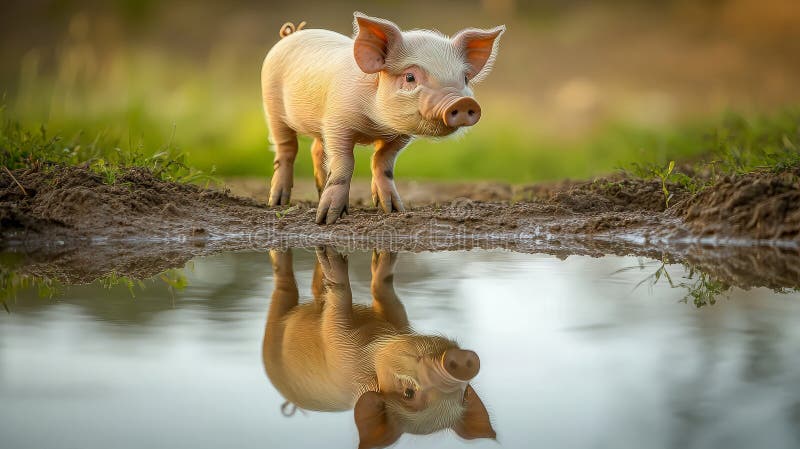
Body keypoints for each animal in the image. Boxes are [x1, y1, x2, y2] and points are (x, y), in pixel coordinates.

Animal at [261, 13, 505, 224]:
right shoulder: (337, 123)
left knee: (317, 150)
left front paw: (394, 210)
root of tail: (291, 34)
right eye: (410, 77)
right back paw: (277, 203)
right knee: (286, 149)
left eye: (464, 79)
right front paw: (326, 220)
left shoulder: (400, 135)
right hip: (272, 105)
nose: (462, 103)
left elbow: (383, 163)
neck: (375, 125)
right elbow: (344, 163)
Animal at [262, 247, 495, 449]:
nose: (465, 365)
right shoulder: (342, 347)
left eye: (463, 394)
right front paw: (376, 256)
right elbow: (356, 302)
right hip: (271, 342)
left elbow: (379, 292)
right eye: (408, 393)